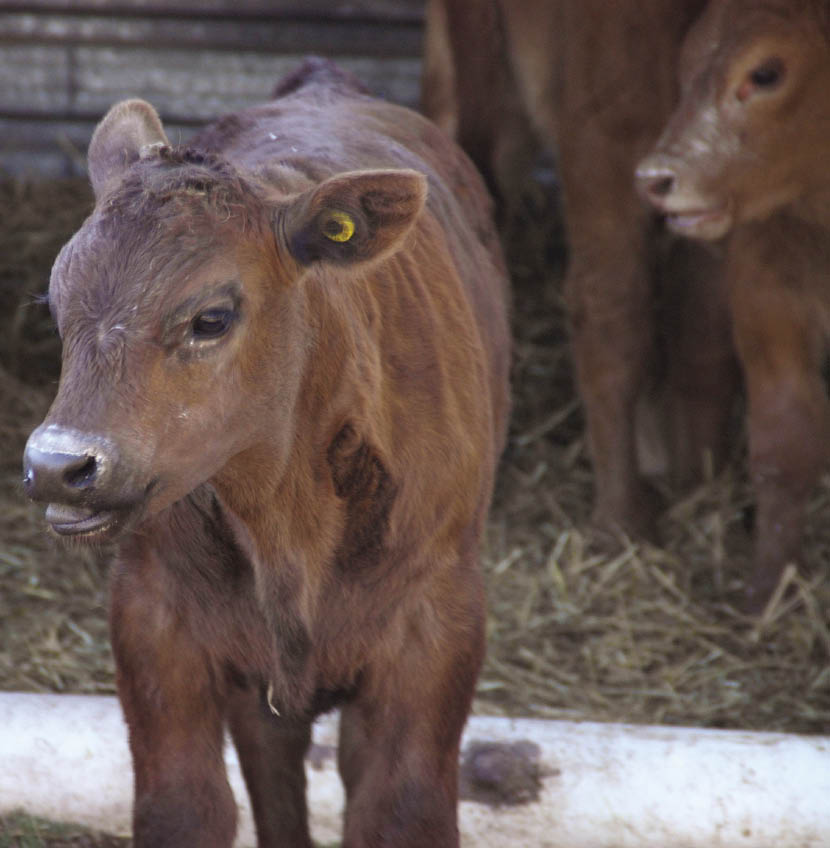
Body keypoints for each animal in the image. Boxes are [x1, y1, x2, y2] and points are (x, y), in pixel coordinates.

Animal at [21, 59, 511, 847]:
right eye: (57, 305)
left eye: (211, 318)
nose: (59, 465)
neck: (286, 513)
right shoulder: (152, 616)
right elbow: (185, 805)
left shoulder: (437, 625)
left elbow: (401, 809)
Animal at [636, 0, 830, 609]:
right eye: (686, 60)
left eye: (765, 73)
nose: (655, 178)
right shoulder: (766, 290)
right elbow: (785, 440)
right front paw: (768, 590)